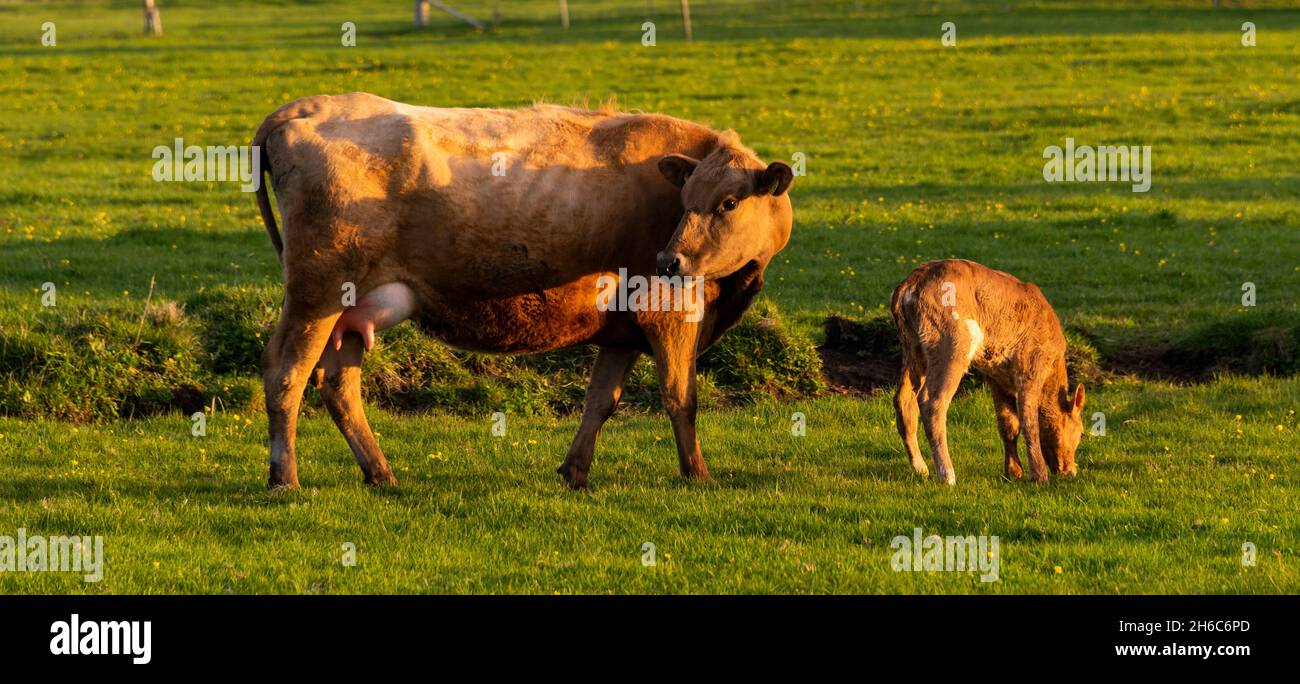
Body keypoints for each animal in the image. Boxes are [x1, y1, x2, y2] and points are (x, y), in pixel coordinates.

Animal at [253, 93, 794, 490]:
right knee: (286, 374)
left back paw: (380, 472)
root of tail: (302, 107)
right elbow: (681, 396)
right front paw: (698, 475)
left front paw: (575, 472)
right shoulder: (670, 313)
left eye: (728, 202)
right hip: (317, 294)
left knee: (338, 384)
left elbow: (602, 399)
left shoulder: (622, 329)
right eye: (686, 200)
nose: (669, 261)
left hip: (350, 309)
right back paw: (285, 479)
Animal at [890, 259, 1085, 484]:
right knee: (932, 401)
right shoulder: (1030, 367)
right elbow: (1029, 422)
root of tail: (910, 283)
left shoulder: (996, 377)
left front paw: (1013, 472)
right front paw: (1039, 476)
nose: (1071, 471)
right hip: (953, 343)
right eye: (1081, 433)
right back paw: (947, 474)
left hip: (913, 349)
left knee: (904, 399)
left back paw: (919, 467)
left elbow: (1008, 423)